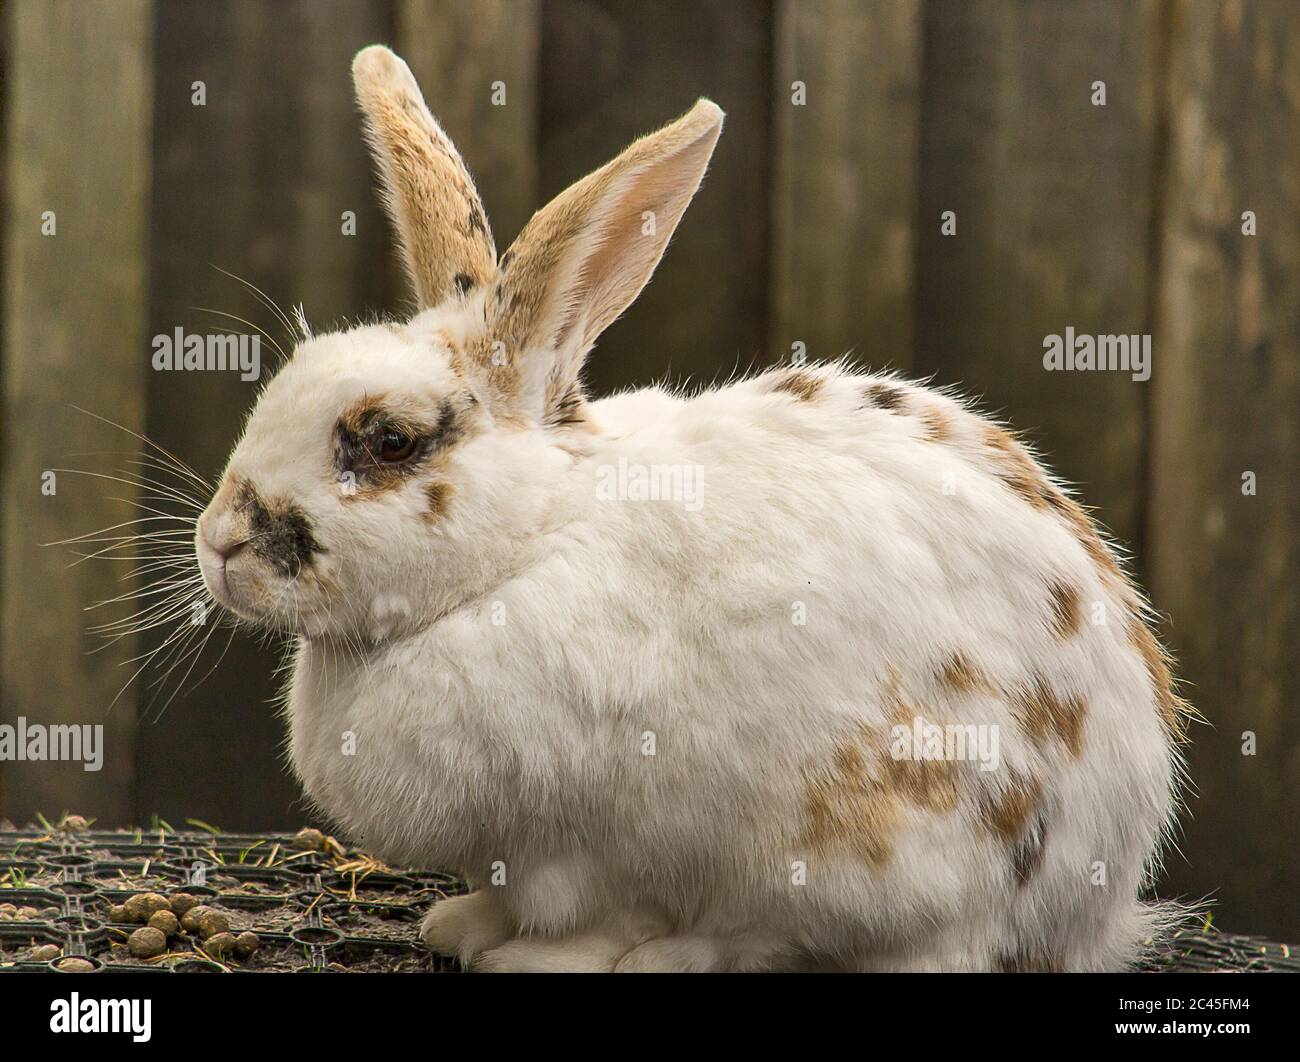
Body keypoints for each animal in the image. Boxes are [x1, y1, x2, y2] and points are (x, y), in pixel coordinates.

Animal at [194, 44, 1190, 972]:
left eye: (389, 443)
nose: (221, 544)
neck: (527, 547)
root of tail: (1094, 904)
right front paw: (462, 924)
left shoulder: (597, 849)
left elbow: (594, 914)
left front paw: (533, 956)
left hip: (881, 855)